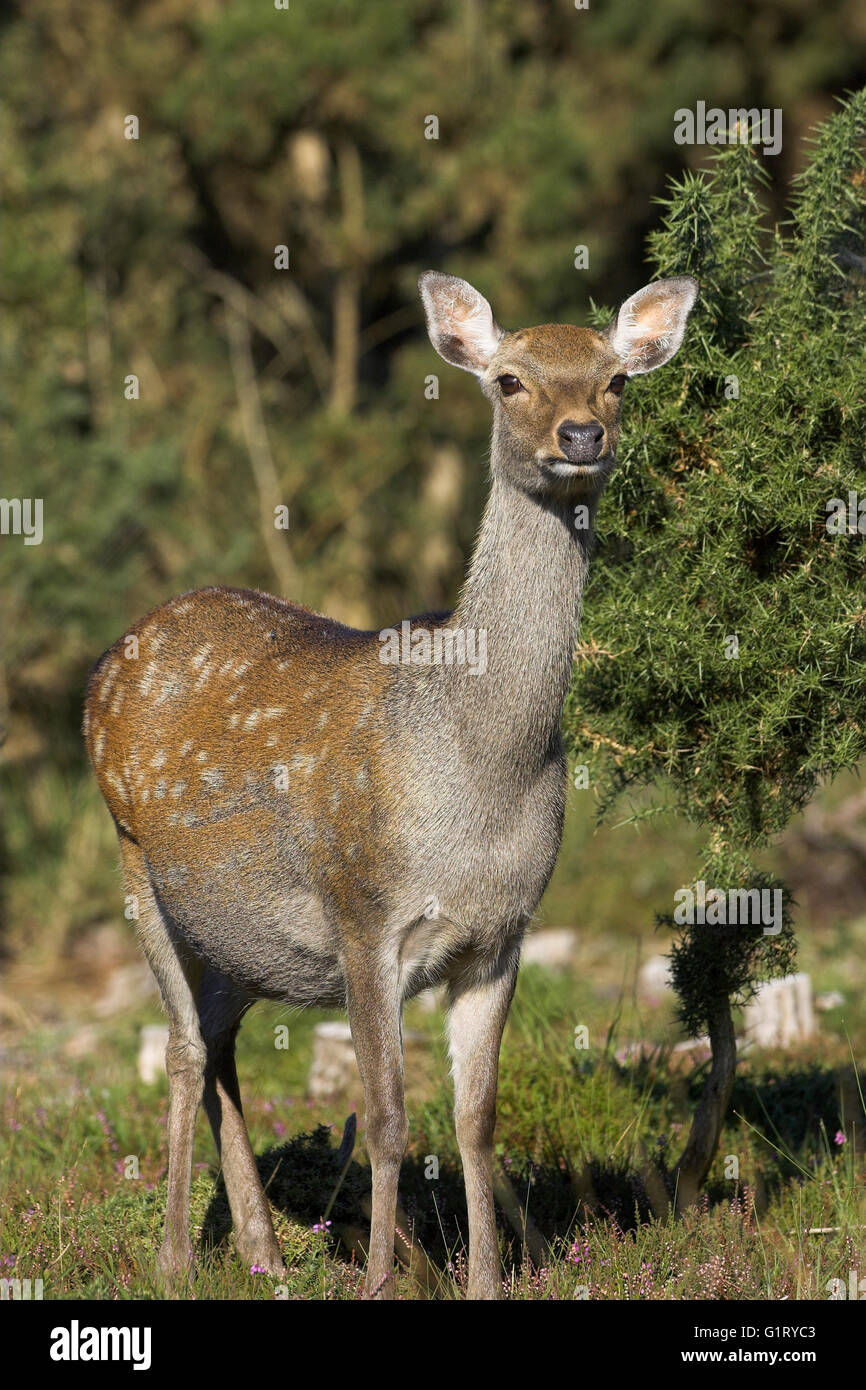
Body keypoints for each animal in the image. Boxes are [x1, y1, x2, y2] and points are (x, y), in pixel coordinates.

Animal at [84, 270, 697, 1299]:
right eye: (509, 380)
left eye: (616, 379)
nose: (580, 435)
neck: (482, 776)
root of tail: (107, 667)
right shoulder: (364, 910)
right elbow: (385, 1118)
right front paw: (378, 1278)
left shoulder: (501, 935)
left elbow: (476, 1121)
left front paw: (485, 1278)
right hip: (137, 864)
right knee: (179, 1047)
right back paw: (174, 1257)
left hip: (243, 935)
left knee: (218, 1040)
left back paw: (258, 1247)